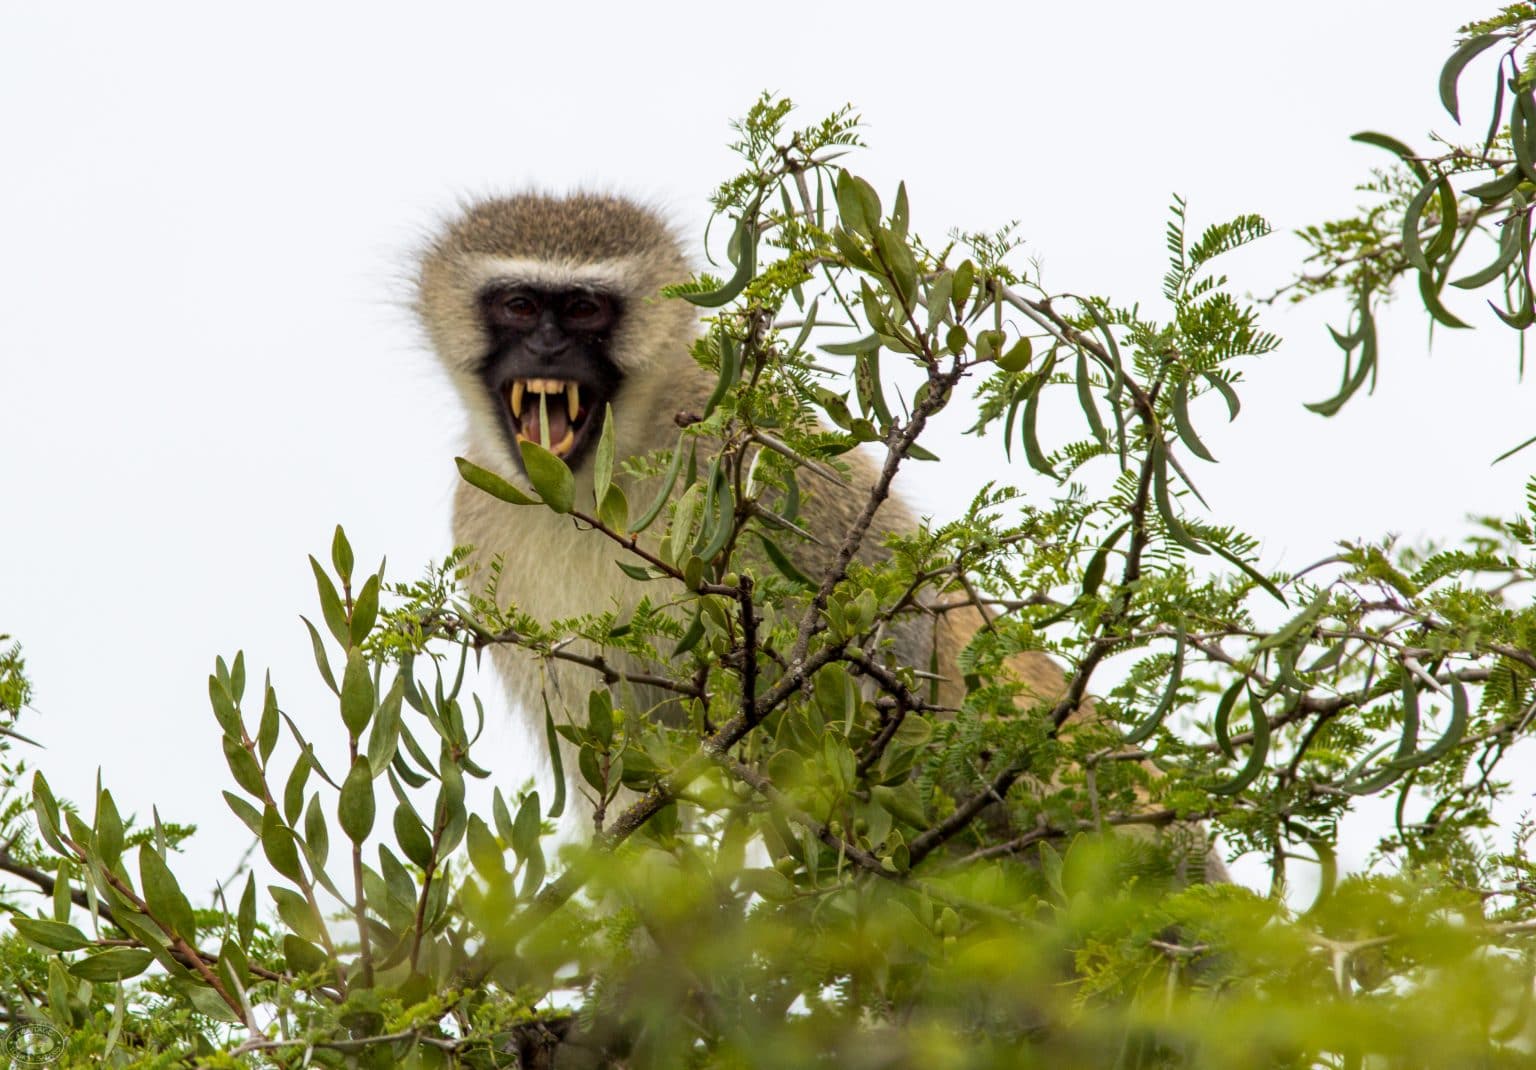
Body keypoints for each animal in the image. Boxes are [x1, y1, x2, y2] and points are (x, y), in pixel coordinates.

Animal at [415, 192, 1225, 881]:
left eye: (583, 309)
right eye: (520, 305)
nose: (548, 350)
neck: (591, 487)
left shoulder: (751, 451)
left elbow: (893, 618)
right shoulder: (478, 522)